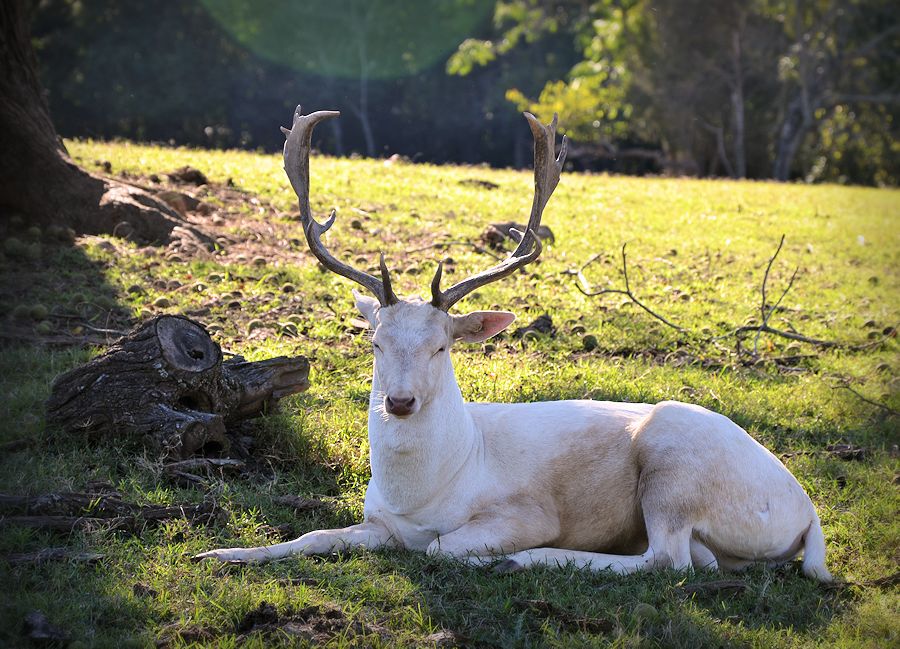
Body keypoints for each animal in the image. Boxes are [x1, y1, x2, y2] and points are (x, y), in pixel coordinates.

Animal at [195, 106, 831, 582]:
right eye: (374, 342)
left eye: (442, 347)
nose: (399, 402)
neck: (429, 490)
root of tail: (807, 513)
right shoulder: (378, 521)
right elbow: (313, 534)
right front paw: (220, 553)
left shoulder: (524, 511)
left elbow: (439, 547)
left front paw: (499, 553)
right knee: (699, 560)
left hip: (675, 466)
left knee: (668, 560)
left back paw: (529, 561)